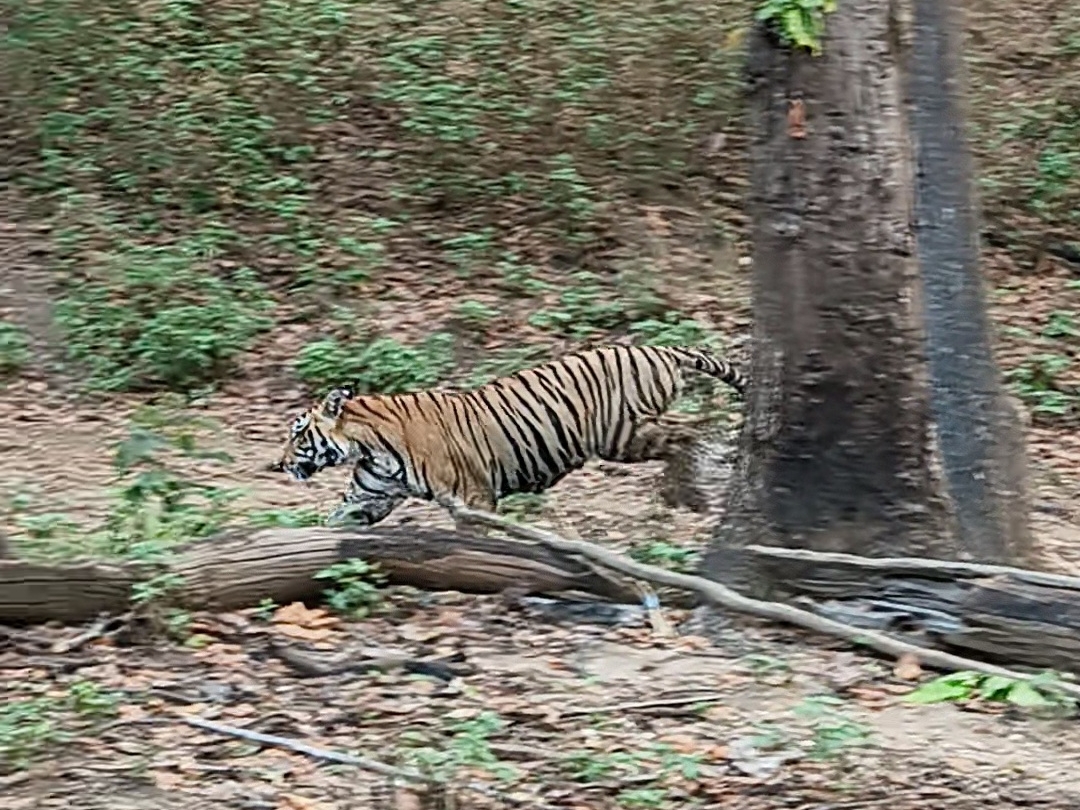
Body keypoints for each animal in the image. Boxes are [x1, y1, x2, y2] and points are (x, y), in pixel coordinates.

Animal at [266, 344, 747, 529]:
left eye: (298, 434)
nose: (280, 463)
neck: (367, 447)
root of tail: (657, 348)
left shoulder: (474, 496)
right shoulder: (369, 497)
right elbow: (333, 523)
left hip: (622, 434)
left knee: (692, 432)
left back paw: (685, 490)